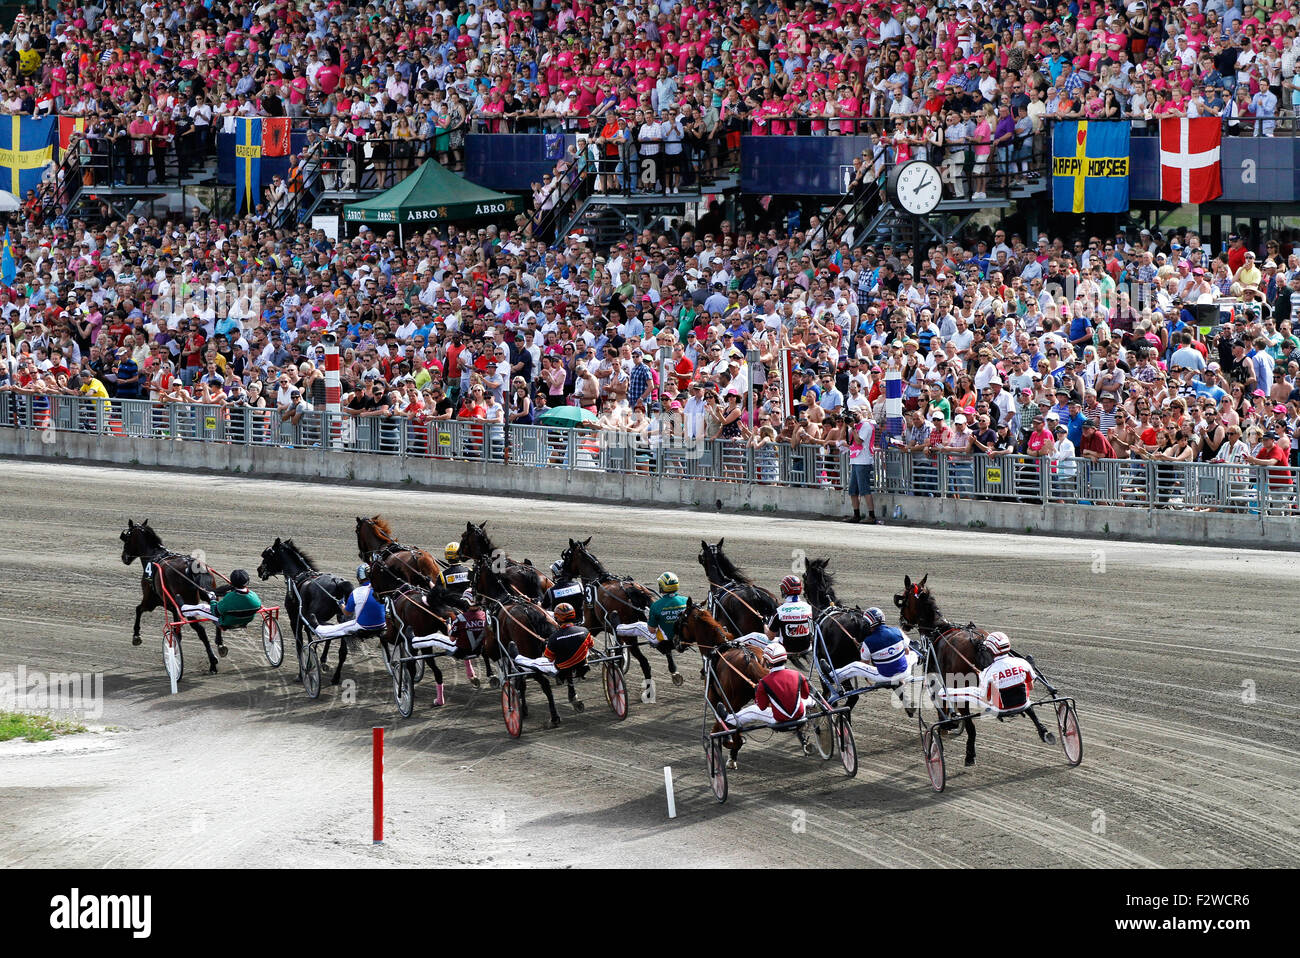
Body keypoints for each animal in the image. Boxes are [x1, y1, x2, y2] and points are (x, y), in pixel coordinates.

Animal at [257, 538, 356, 686]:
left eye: (267, 555)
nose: (259, 570)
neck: (298, 576)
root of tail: (337, 582)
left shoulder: (294, 619)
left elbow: (299, 646)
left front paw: (301, 672)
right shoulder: (303, 620)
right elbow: (309, 636)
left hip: (315, 616)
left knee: (330, 630)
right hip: (342, 618)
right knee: (342, 650)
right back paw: (335, 676)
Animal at [894, 571, 1055, 764]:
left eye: (903, 599)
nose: (902, 622)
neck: (937, 630)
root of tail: (979, 643)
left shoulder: (937, 677)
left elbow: (943, 704)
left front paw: (947, 725)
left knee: (971, 726)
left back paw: (969, 753)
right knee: (1028, 706)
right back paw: (1044, 731)